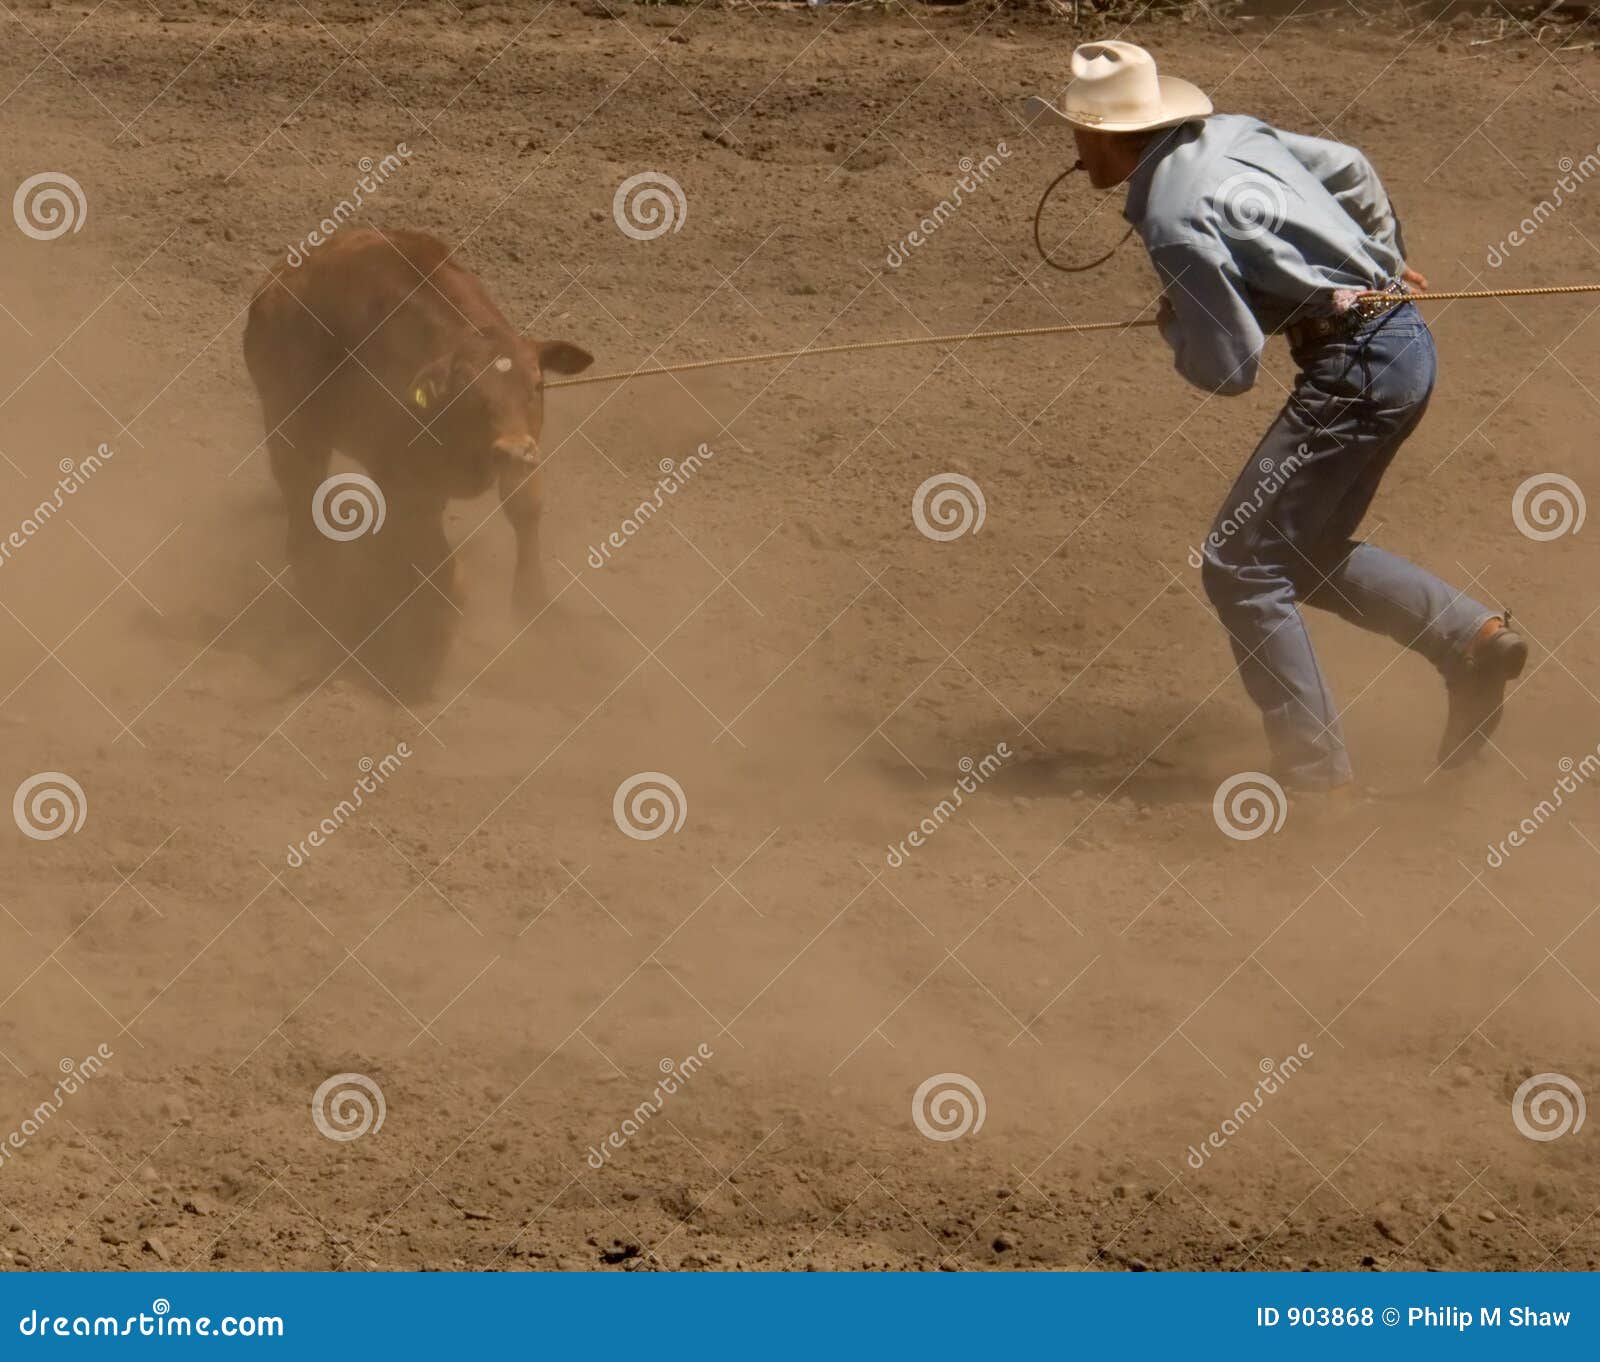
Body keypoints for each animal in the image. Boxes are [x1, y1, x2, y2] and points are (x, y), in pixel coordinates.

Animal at [243, 227, 593, 621]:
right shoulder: (408, 482)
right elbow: (438, 559)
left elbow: (525, 506)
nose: (513, 450)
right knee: (300, 491)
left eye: (537, 385)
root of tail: (276, 281)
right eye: (469, 392)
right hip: (288, 420)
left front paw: (532, 596)